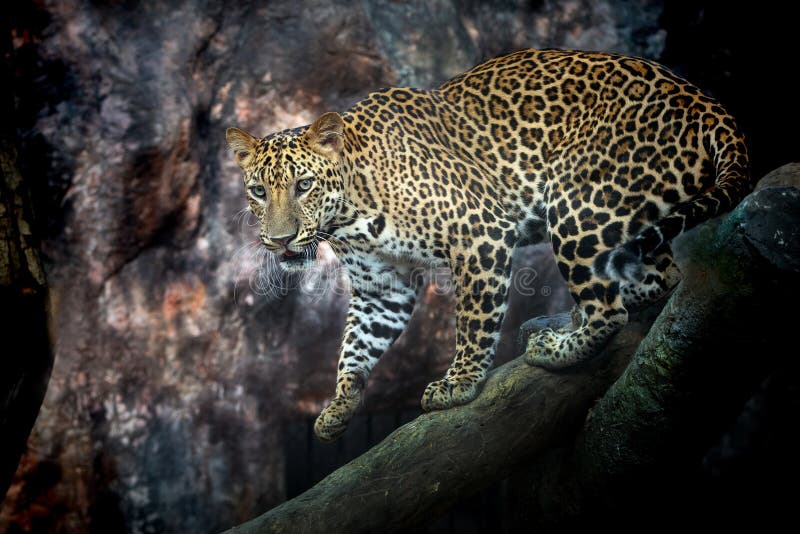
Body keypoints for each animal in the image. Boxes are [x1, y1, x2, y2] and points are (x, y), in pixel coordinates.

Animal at [226, 49, 749, 442]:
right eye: (258, 191)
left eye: (304, 185)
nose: (279, 239)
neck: (350, 211)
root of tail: (702, 101)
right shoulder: (382, 286)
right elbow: (356, 345)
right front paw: (339, 406)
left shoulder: (479, 233)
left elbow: (474, 320)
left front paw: (459, 383)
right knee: (660, 275)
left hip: (577, 206)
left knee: (610, 309)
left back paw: (555, 347)